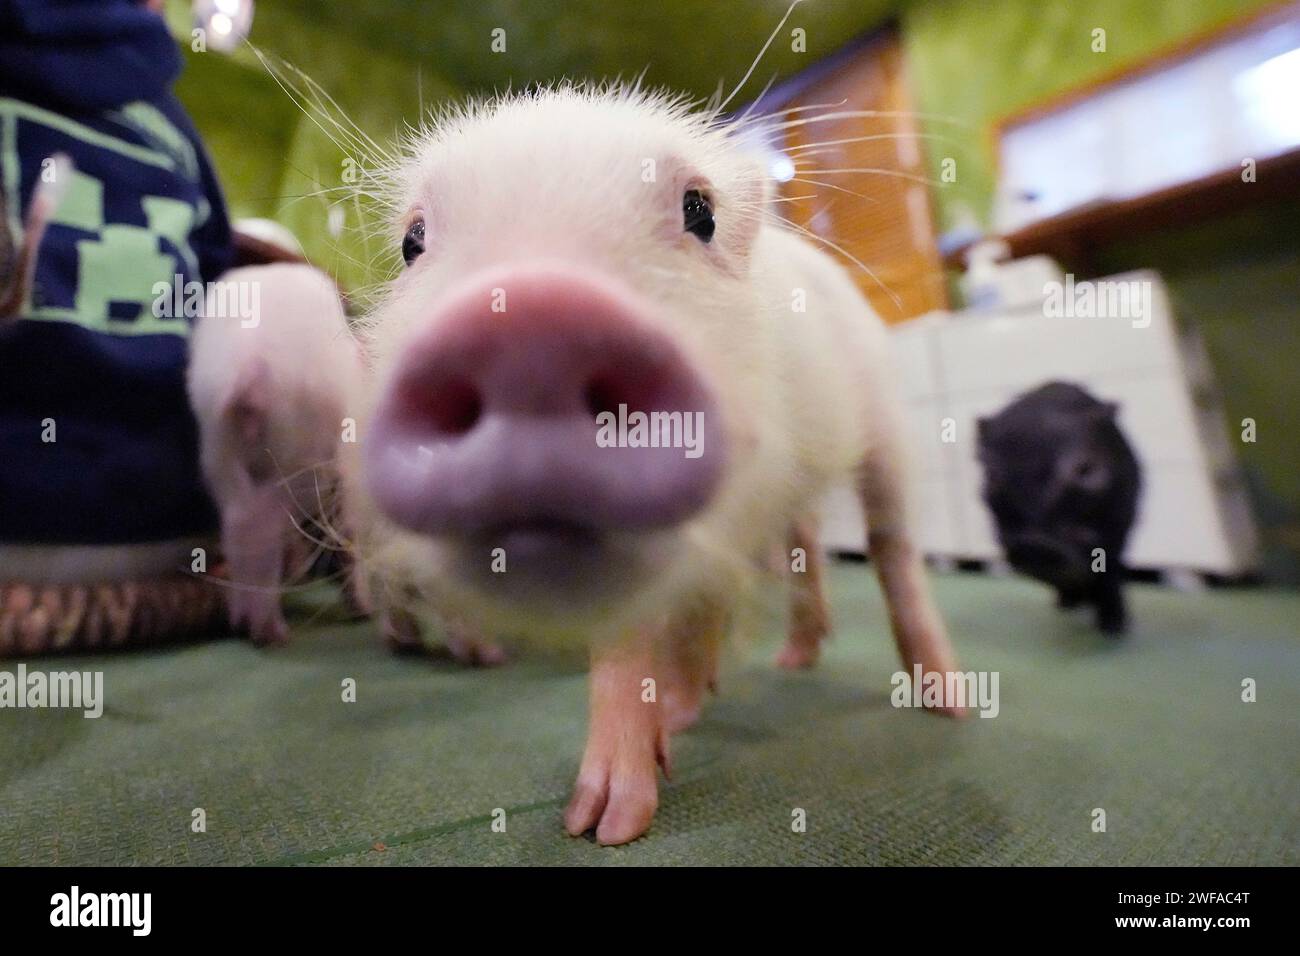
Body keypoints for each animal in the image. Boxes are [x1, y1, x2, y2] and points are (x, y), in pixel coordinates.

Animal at [343, 84, 959, 844]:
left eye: (700, 213)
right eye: (412, 242)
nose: (531, 323)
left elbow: (689, 612)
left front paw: (621, 810)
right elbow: (637, 634)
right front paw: (594, 822)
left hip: (883, 421)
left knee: (891, 542)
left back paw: (947, 704)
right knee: (806, 542)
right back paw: (792, 659)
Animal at [976, 381, 1142, 635]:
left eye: (1085, 470)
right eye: (991, 476)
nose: (1035, 544)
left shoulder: (1120, 527)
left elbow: (1110, 572)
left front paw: (1113, 629)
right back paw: (1066, 604)